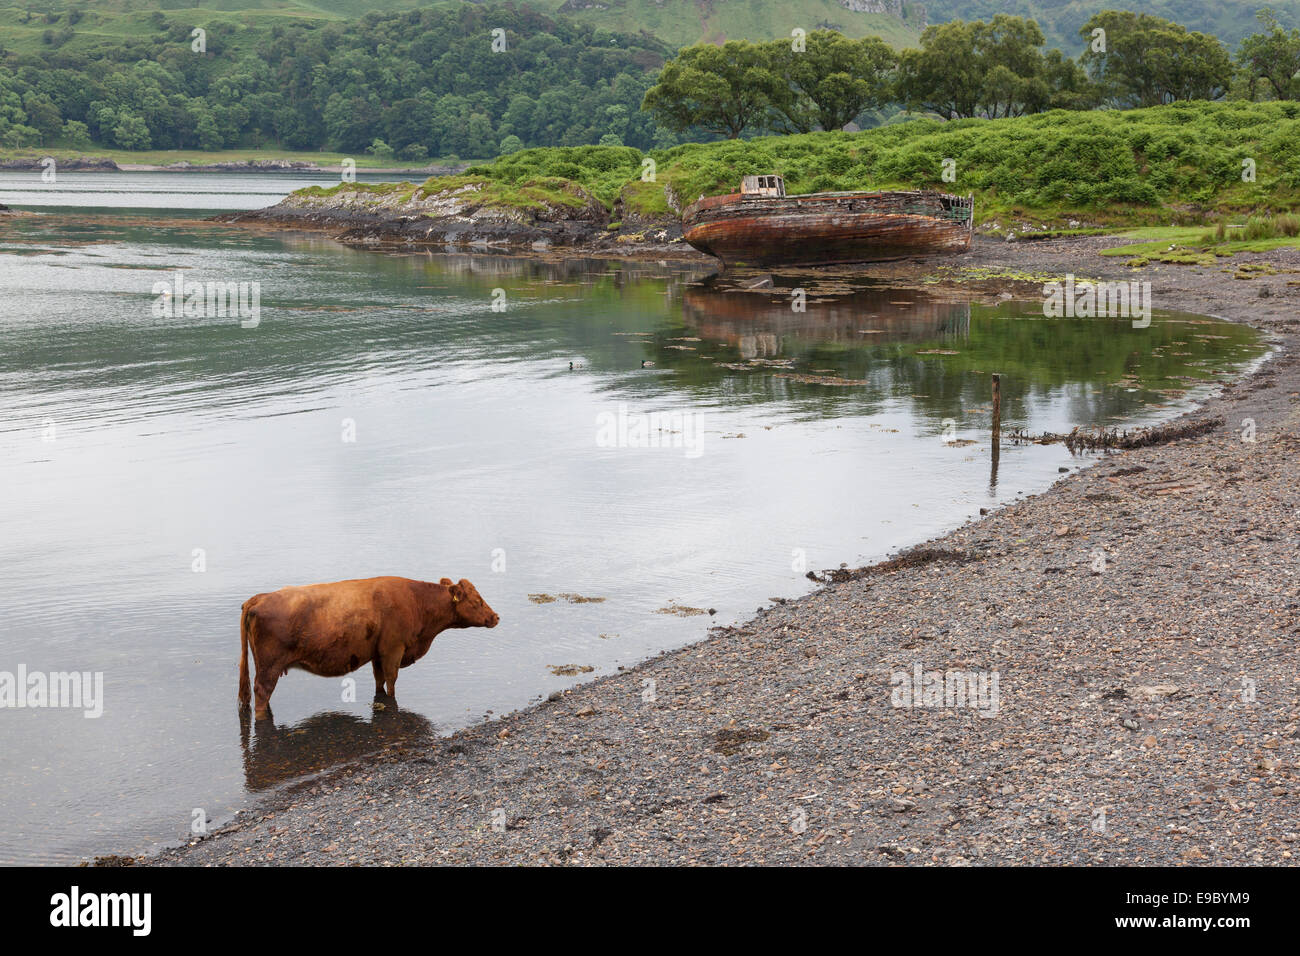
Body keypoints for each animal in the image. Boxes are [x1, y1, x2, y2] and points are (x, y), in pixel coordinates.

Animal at [238, 576, 499, 719]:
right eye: (477, 601)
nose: (495, 617)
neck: (416, 601)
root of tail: (259, 597)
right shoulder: (394, 649)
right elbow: (391, 681)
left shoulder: (377, 653)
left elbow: (379, 681)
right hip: (269, 666)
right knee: (262, 693)